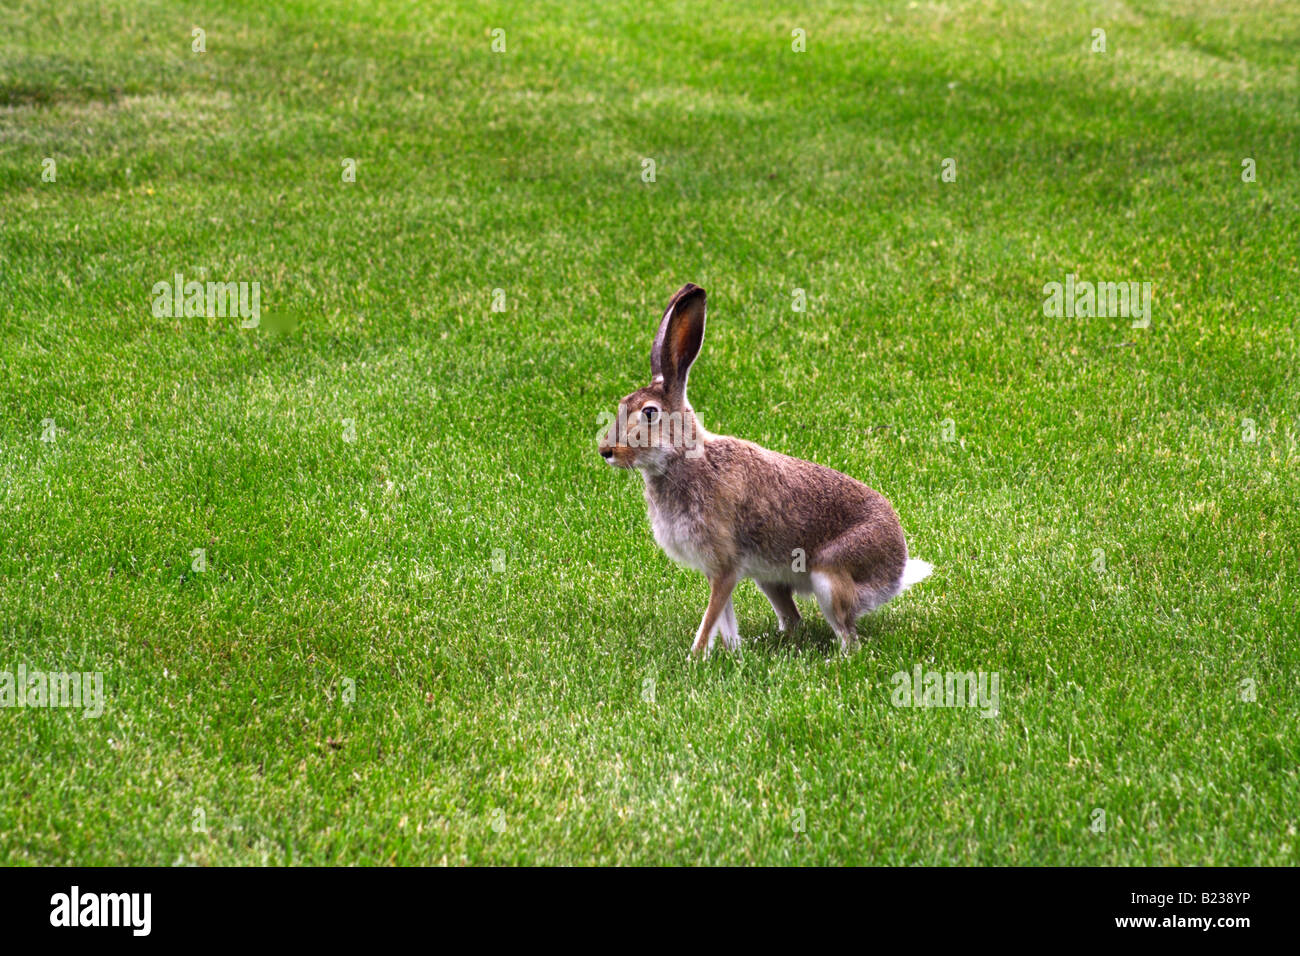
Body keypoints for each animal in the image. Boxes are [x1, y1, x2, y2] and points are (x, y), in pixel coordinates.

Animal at [598, 282, 932, 655]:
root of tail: (897, 570)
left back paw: (834, 659)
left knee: (849, 637)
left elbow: (710, 618)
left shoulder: (725, 565)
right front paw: (731, 652)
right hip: (768, 579)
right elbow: (724, 618)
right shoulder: (719, 570)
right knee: (794, 620)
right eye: (621, 405)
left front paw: (694, 657)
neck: (682, 457)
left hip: (830, 579)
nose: (606, 451)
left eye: (650, 413)